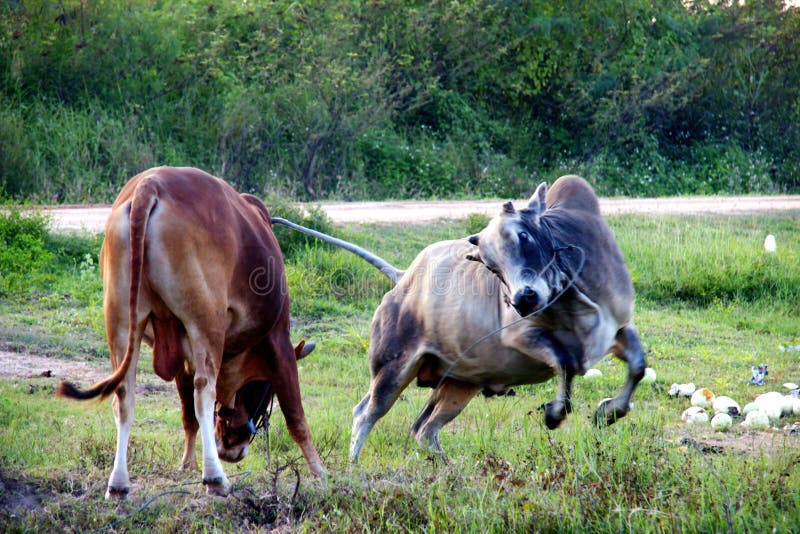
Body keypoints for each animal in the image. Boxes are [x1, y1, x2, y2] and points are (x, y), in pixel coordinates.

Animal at [57, 166, 325, 498]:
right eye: (266, 392)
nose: (231, 446)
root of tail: (149, 186)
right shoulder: (278, 340)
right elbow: (296, 416)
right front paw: (321, 471)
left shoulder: (180, 353)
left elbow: (187, 417)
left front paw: (186, 463)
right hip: (205, 323)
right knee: (203, 392)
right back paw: (215, 478)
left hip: (120, 322)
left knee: (124, 395)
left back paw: (118, 484)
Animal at [273, 175, 646, 463]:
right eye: (490, 266)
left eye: (524, 235)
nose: (523, 299)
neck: (572, 296)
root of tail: (403, 278)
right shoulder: (523, 337)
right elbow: (566, 364)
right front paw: (555, 415)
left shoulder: (618, 327)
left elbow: (638, 366)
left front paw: (609, 412)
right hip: (392, 369)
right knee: (365, 413)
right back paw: (352, 468)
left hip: (460, 382)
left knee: (424, 429)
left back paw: (450, 468)